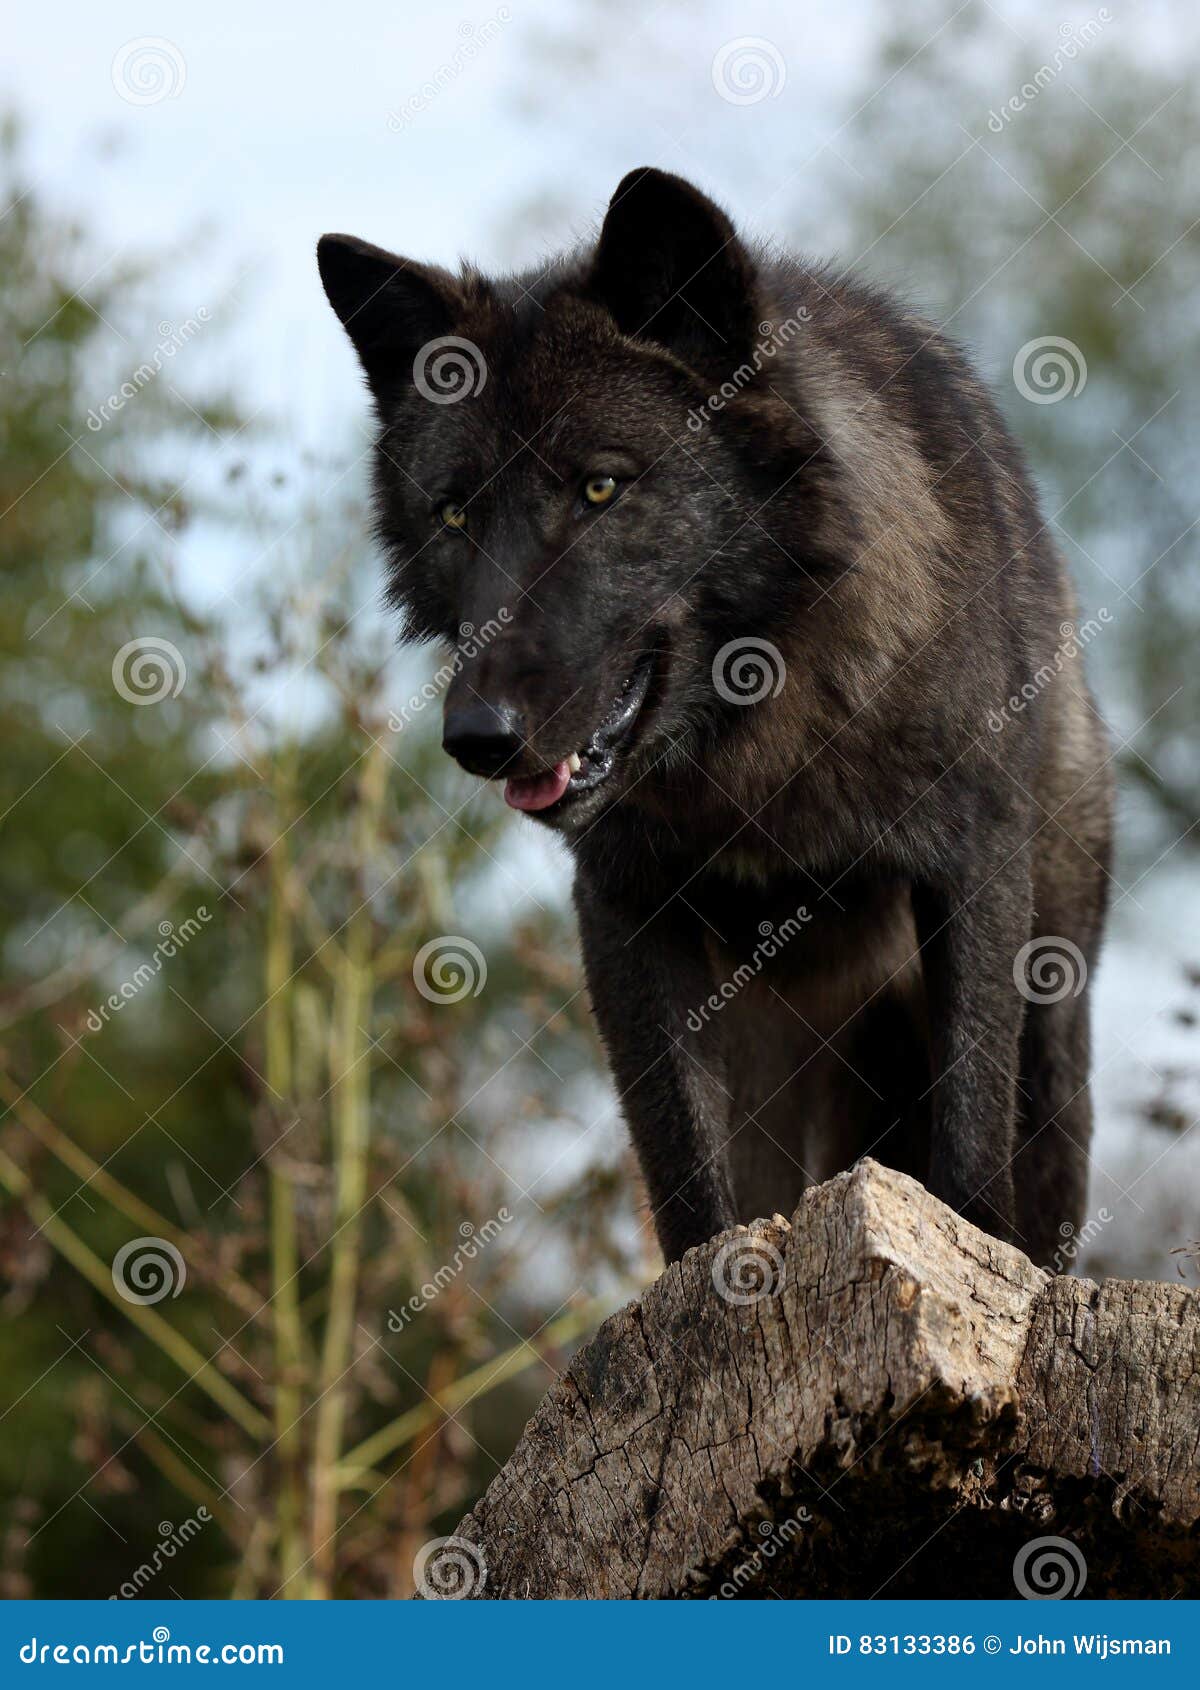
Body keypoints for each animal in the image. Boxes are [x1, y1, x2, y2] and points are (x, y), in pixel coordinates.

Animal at [318, 167, 1113, 1272]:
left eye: (600, 487)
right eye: (454, 514)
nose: (478, 736)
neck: (757, 749)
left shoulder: (971, 866)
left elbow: (966, 1136)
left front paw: (972, 1245)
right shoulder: (626, 909)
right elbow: (686, 1174)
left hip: (1055, 1027)